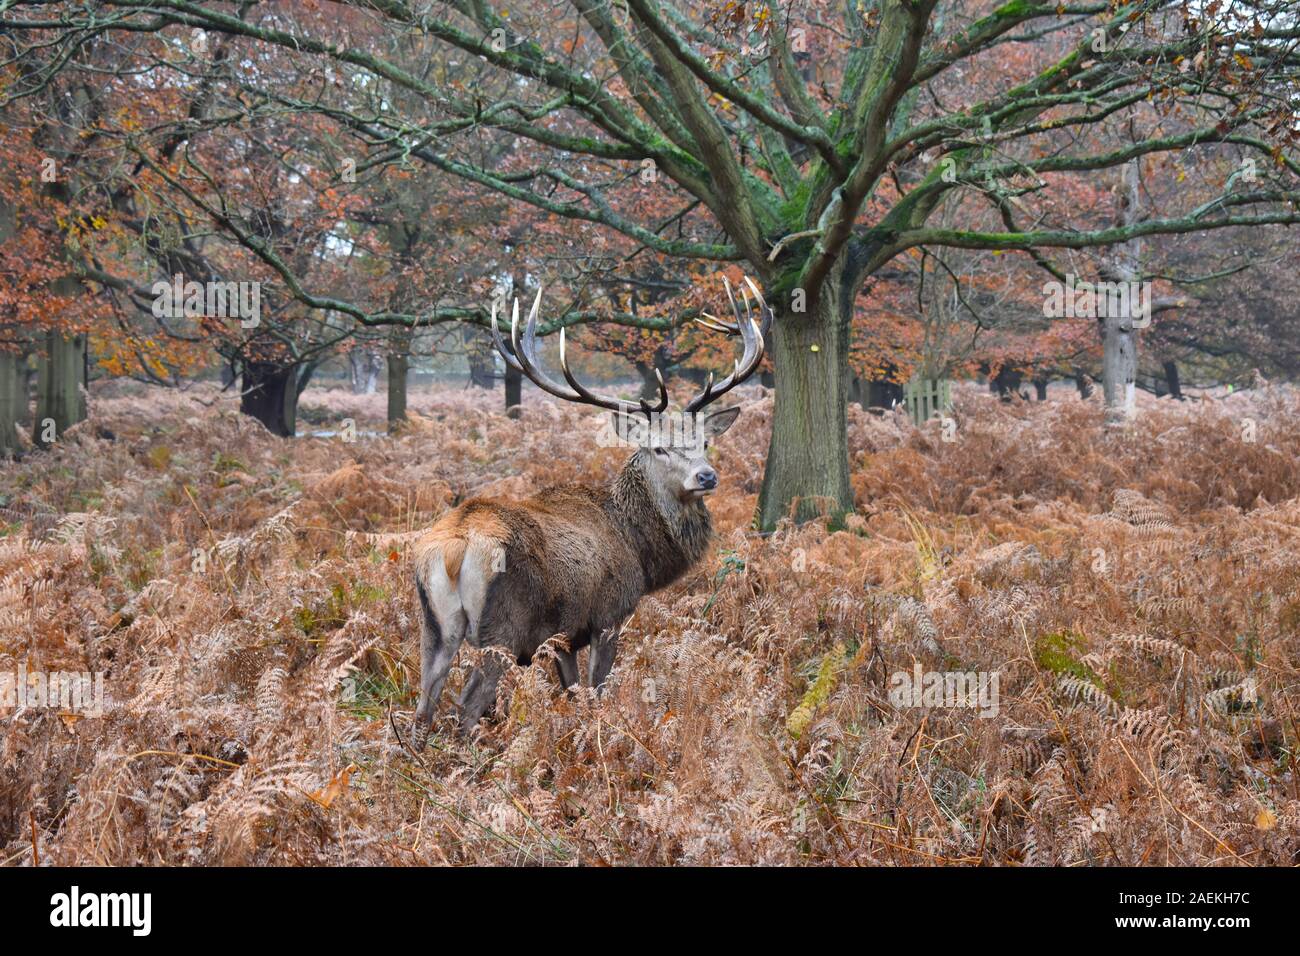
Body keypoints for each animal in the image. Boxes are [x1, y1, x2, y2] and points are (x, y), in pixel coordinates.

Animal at [408, 277, 771, 750]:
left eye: (704, 442)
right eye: (659, 447)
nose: (707, 476)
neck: (640, 552)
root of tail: (456, 544)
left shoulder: (562, 637)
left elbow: (573, 692)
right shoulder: (608, 616)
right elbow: (597, 692)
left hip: (433, 626)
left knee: (422, 707)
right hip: (502, 628)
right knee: (465, 707)